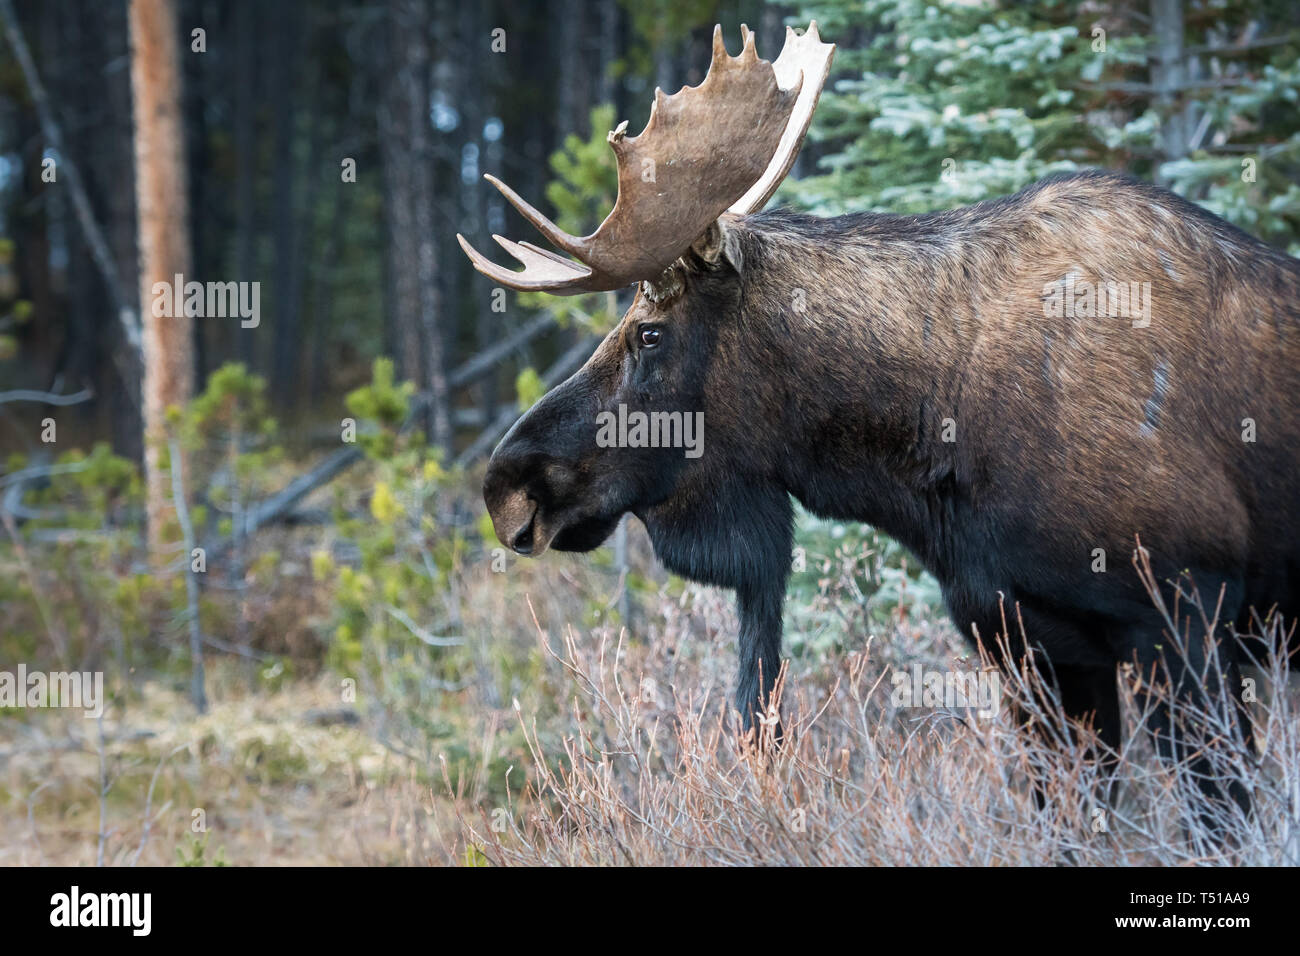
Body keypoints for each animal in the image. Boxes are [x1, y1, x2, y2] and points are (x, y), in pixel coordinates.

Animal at [459, 23, 1300, 824]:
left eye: (650, 335)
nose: (506, 486)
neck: (933, 451)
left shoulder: (1185, 615)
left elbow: (1218, 818)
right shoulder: (1027, 639)